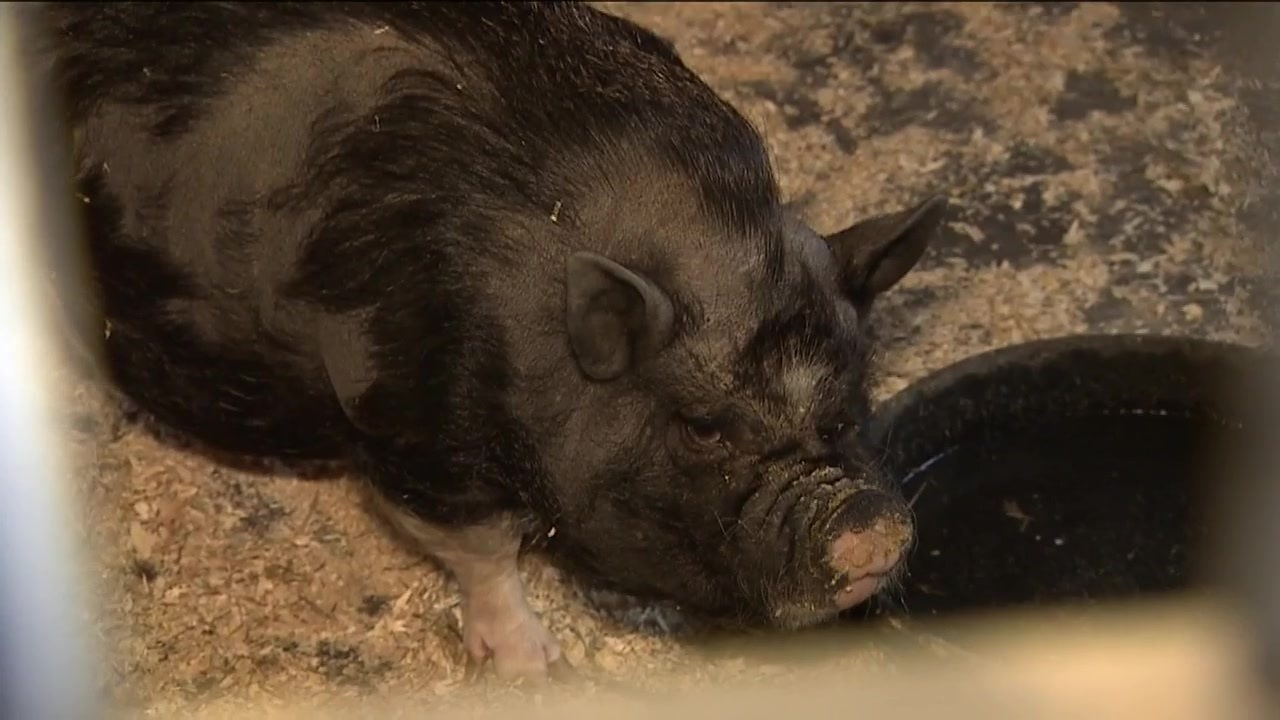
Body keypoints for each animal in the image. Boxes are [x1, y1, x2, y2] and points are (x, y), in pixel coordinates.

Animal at [35, 1, 946, 681]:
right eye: (701, 427)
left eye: (847, 403)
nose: (870, 522)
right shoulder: (412, 426)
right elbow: (483, 551)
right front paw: (537, 669)